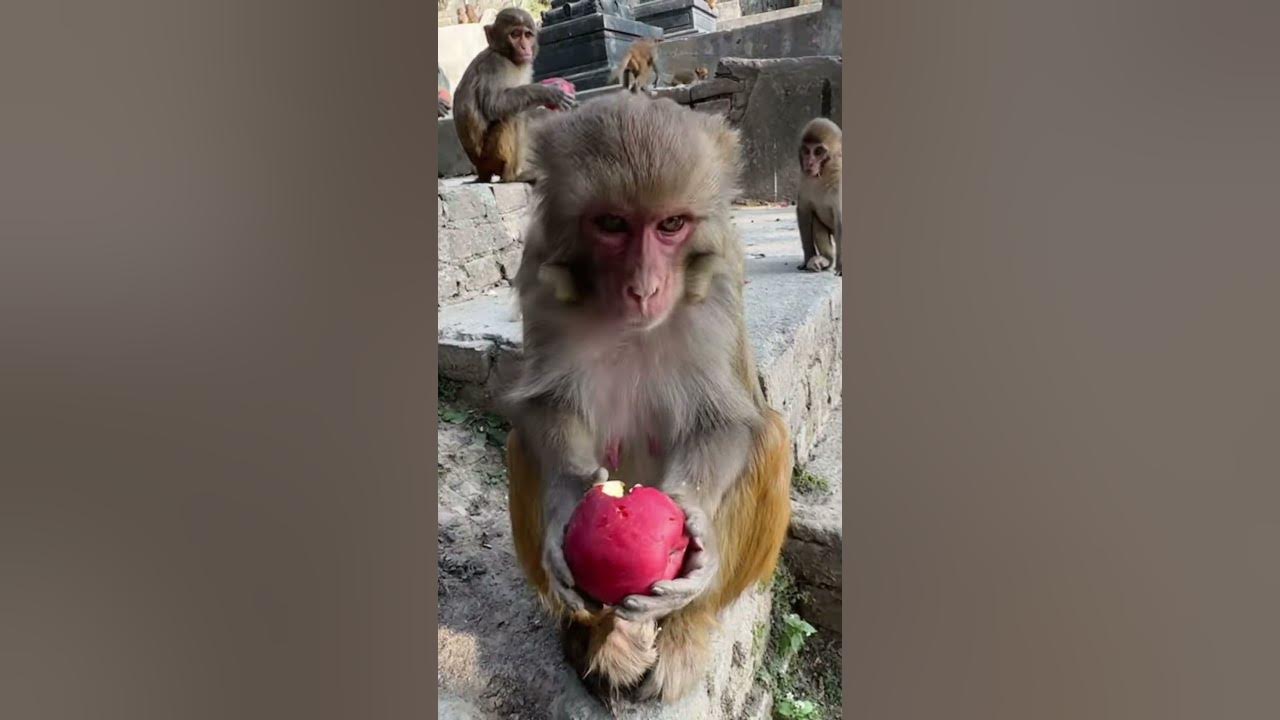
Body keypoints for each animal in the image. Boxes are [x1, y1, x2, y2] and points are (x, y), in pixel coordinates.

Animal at [453, 8, 576, 183]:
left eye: (527, 35)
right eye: (515, 34)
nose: (524, 47)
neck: (508, 57)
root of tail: (480, 170)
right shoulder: (495, 65)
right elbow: (494, 105)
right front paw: (548, 92)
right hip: (490, 157)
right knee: (512, 117)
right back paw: (514, 175)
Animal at [503, 93, 793, 704]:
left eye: (671, 225)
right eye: (612, 223)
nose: (644, 287)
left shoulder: (720, 285)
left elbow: (724, 420)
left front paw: (697, 527)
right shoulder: (541, 275)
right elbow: (546, 405)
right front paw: (567, 502)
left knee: (770, 436)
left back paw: (685, 627)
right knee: (520, 442)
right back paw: (600, 636)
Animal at [795, 117, 842, 275]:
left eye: (818, 151)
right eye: (806, 150)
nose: (809, 163)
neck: (824, 175)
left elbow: (840, 219)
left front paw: (841, 267)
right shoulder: (804, 180)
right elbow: (804, 211)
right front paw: (807, 259)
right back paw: (826, 259)